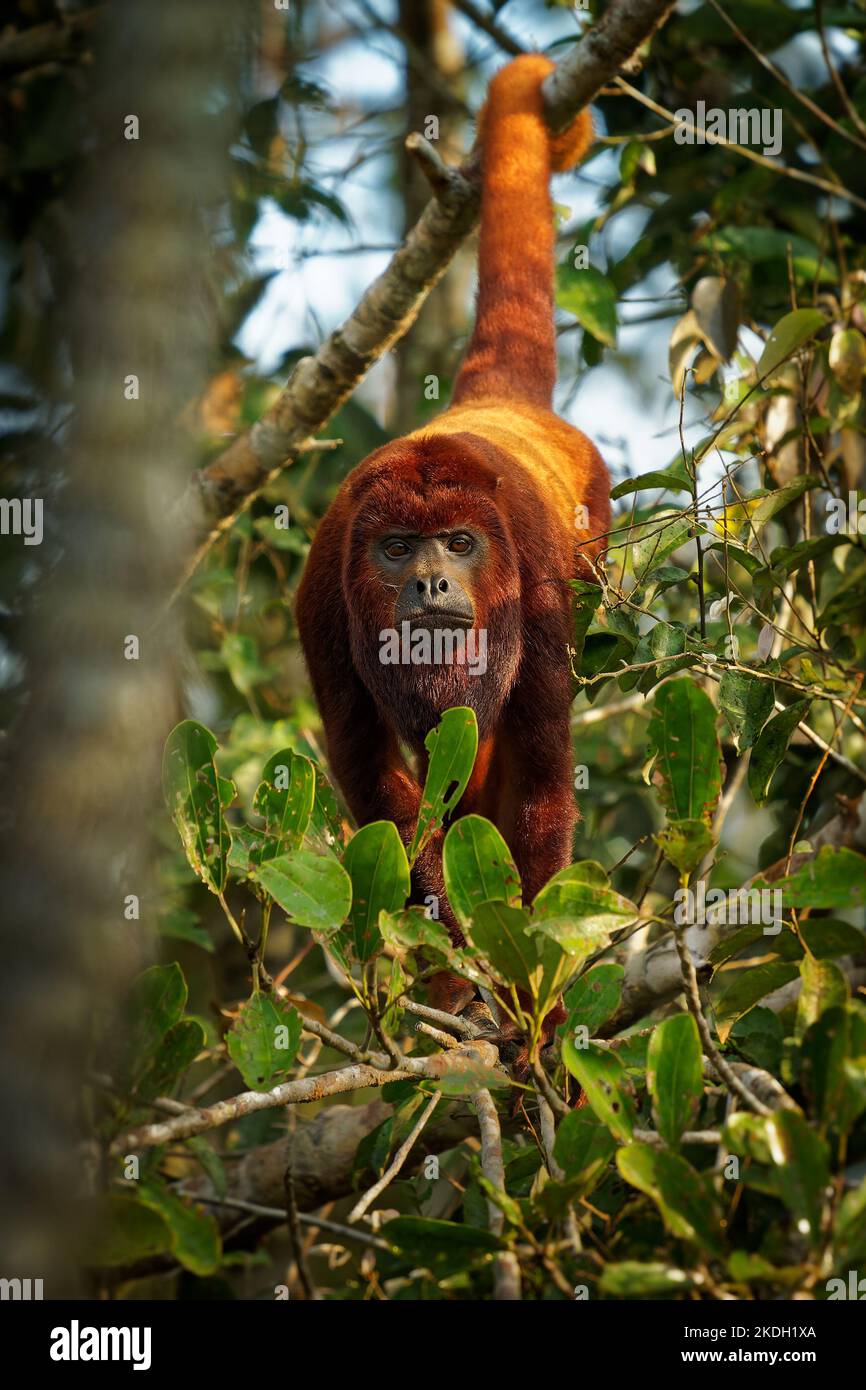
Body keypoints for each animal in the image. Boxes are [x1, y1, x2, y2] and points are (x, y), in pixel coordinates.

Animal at [296, 54, 610, 1047]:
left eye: (461, 543)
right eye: (397, 548)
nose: (432, 580)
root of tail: (494, 405)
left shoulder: (538, 592)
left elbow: (542, 788)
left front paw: (534, 1004)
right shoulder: (322, 600)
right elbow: (377, 789)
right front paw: (450, 980)